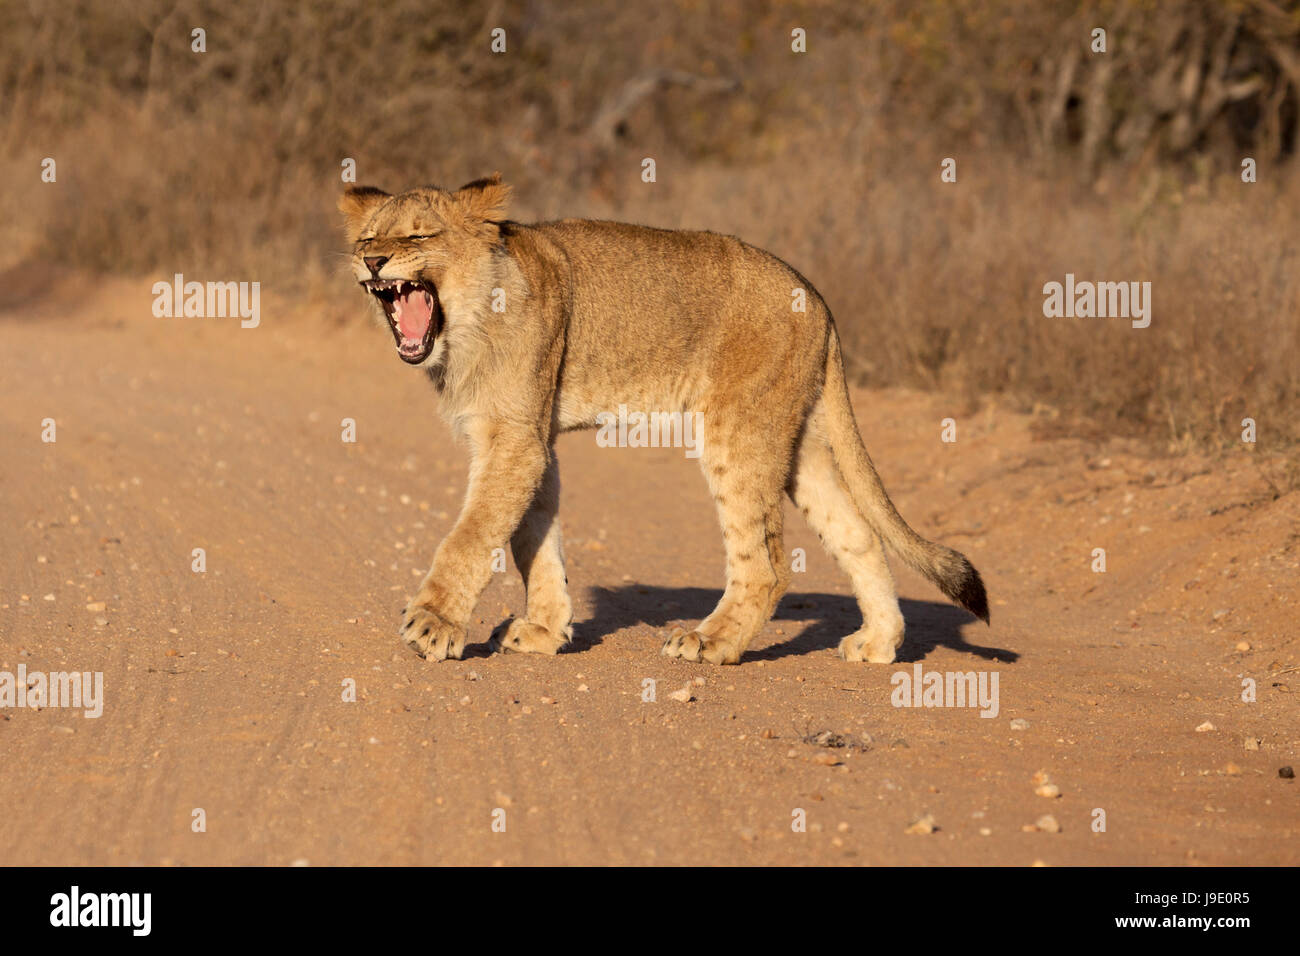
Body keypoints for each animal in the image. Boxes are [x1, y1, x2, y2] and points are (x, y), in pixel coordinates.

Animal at [339, 174, 988, 665]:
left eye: (419, 233)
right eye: (367, 236)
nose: (372, 260)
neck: (464, 326)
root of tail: (816, 294)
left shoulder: (515, 439)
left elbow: (472, 533)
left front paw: (434, 623)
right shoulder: (534, 440)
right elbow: (533, 537)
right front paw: (545, 631)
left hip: (737, 432)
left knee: (768, 565)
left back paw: (709, 642)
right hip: (793, 438)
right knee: (858, 532)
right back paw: (878, 643)